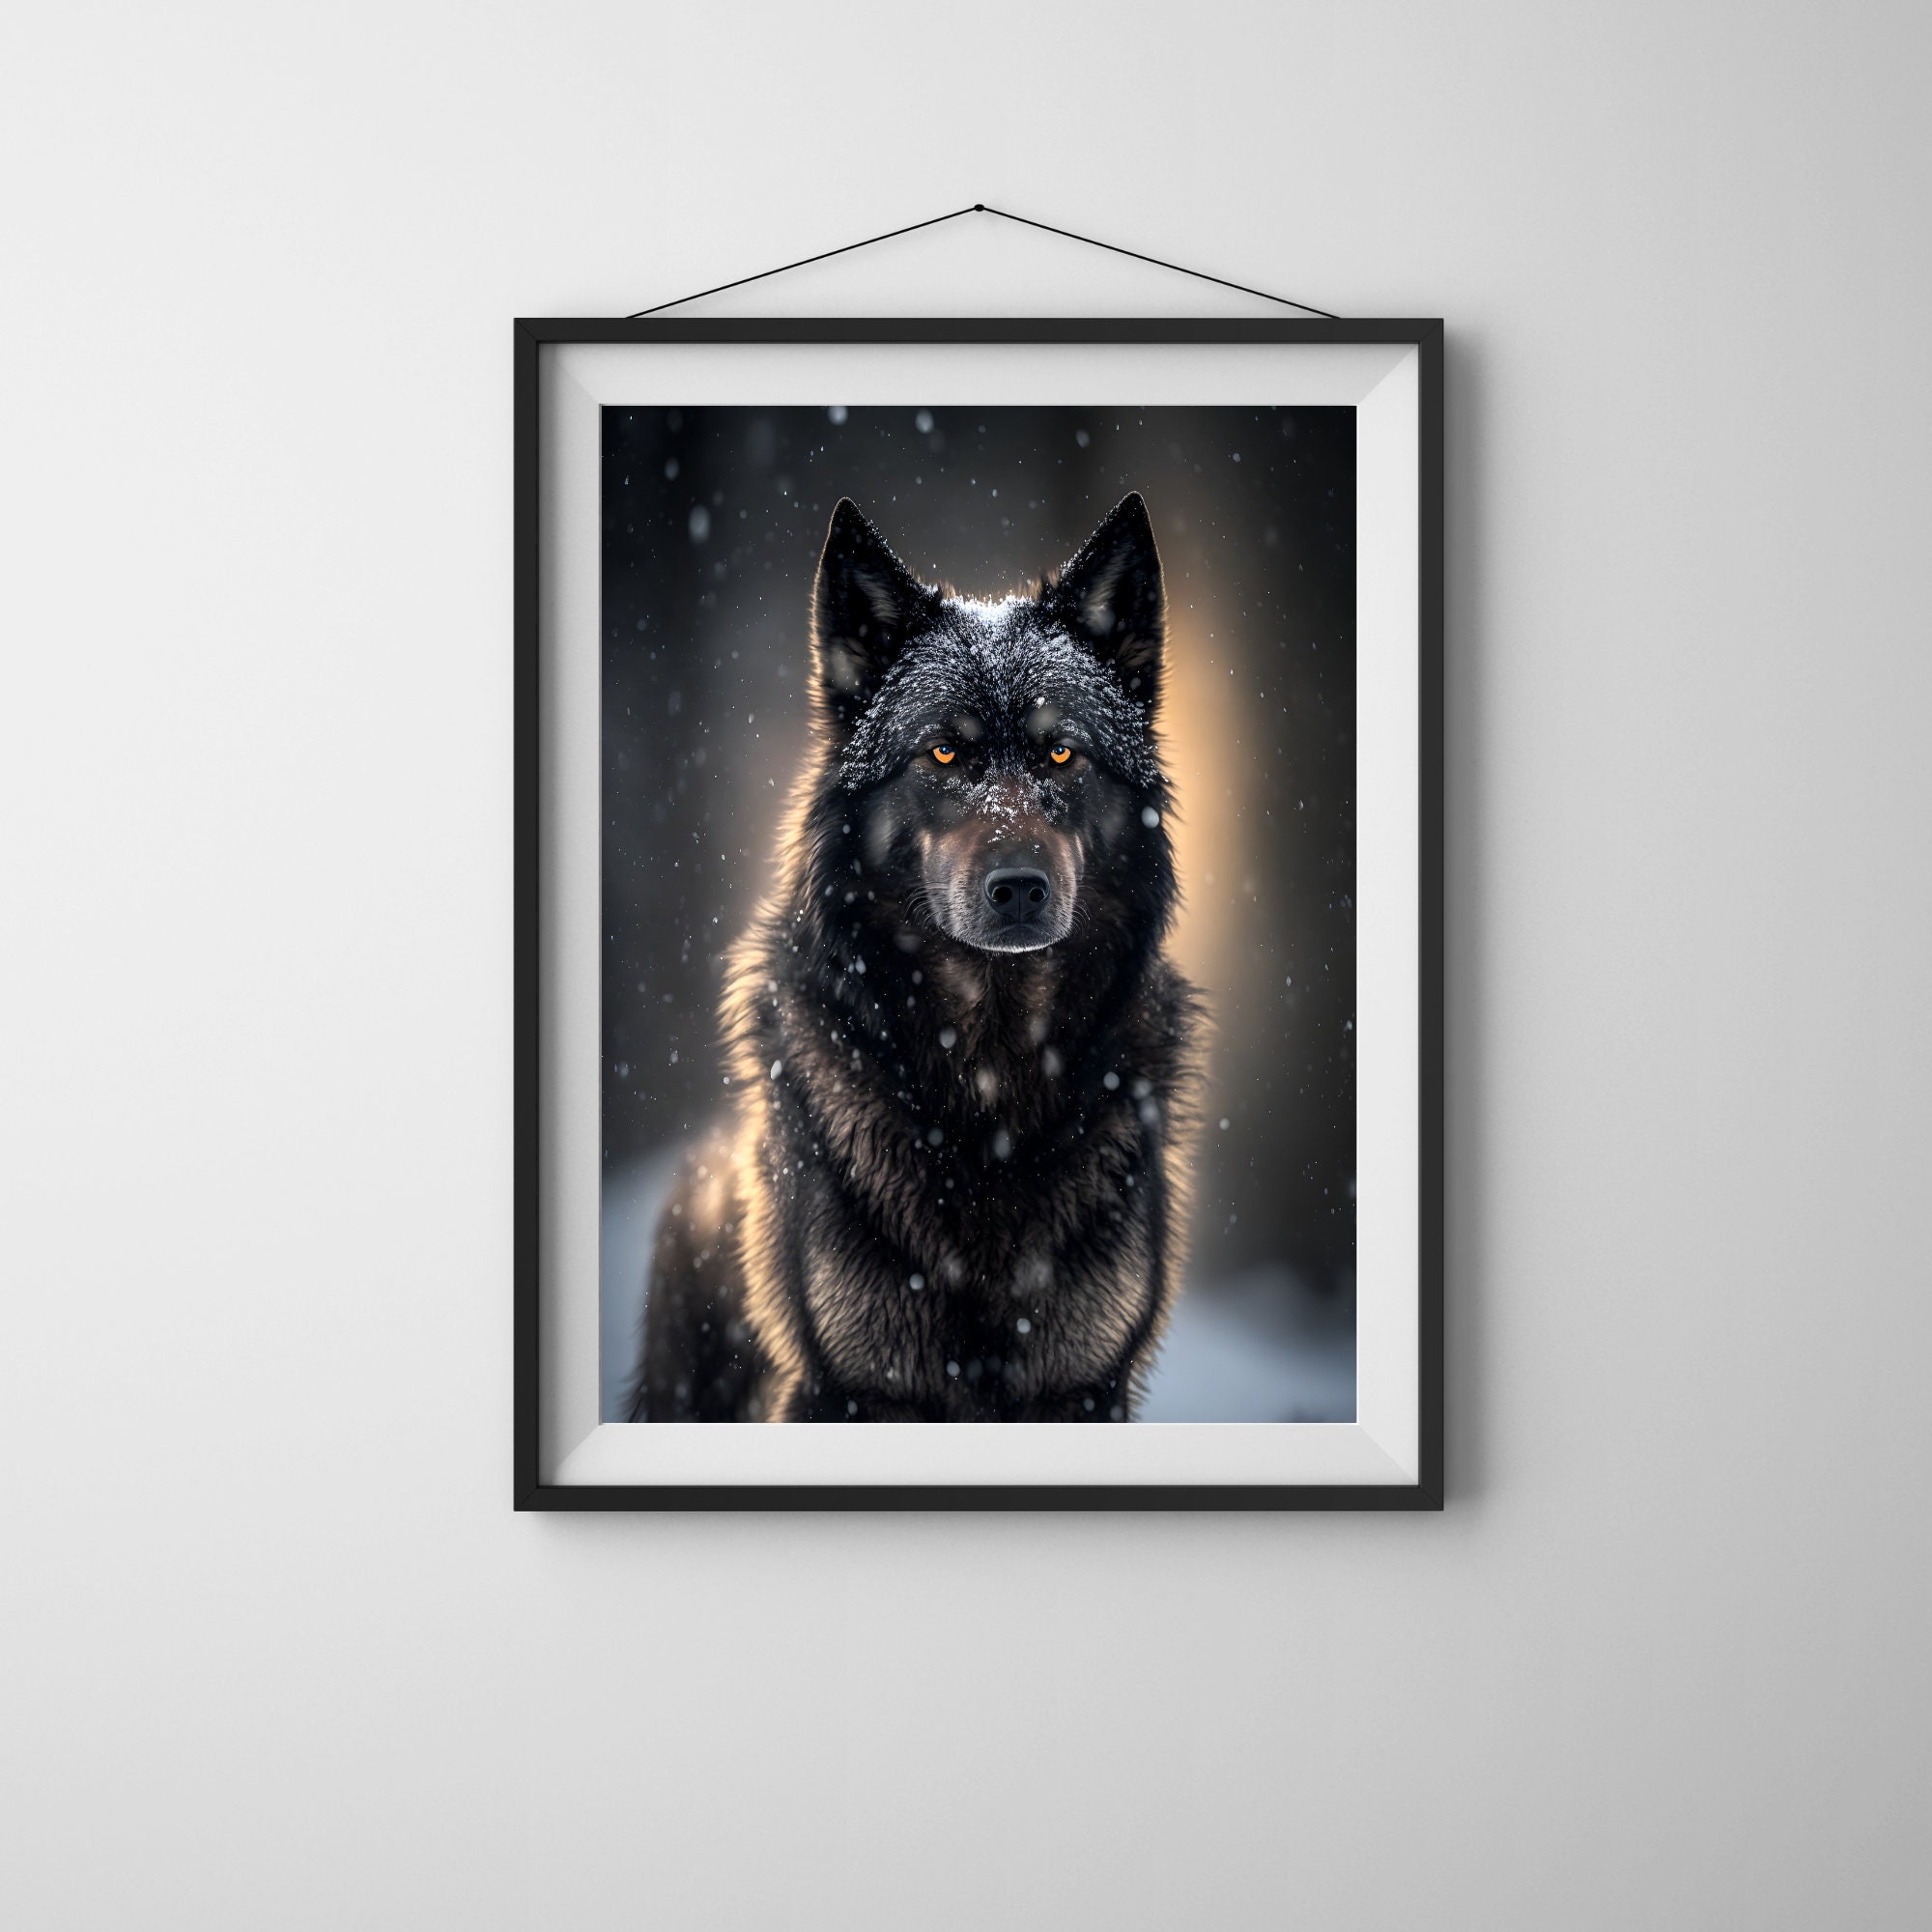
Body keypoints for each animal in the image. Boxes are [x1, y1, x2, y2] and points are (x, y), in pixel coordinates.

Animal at [630, 491, 1202, 1422]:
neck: (993, 1078)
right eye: (943, 751)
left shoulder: (1083, 1387)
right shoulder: (850, 1389)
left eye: (1061, 751)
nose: (1020, 888)